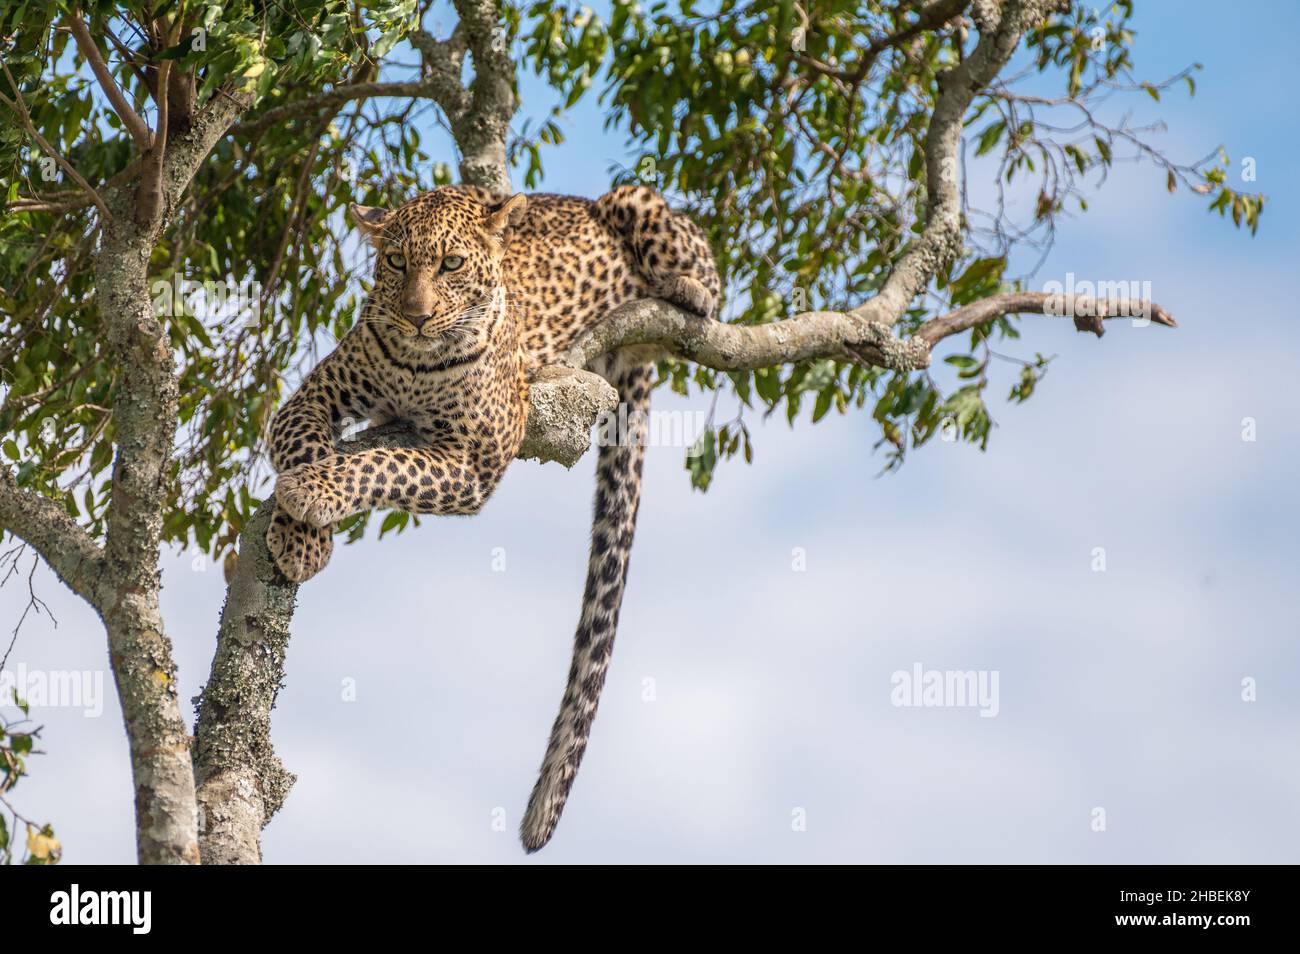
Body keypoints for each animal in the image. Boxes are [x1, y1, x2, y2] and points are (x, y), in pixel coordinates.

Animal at [265, 183, 720, 853]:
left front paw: (311, 501)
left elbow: (379, 464)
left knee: (709, 282)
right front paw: (300, 539)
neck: (415, 362)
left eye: (451, 264)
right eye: (396, 262)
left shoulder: (472, 463)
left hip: (634, 199)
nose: (418, 315)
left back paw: (688, 289)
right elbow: (301, 441)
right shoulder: (318, 391)